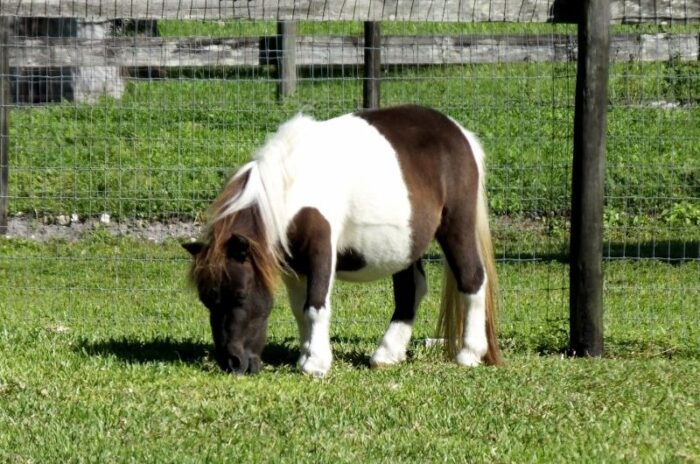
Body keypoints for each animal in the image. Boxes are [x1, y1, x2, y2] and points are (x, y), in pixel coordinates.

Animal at [183, 104, 502, 376]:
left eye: (239, 295)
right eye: (206, 299)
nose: (232, 363)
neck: (288, 186)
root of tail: (460, 133)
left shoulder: (320, 249)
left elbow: (315, 304)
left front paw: (316, 363)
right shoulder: (293, 264)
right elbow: (299, 309)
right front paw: (306, 355)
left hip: (456, 226)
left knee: (472, 279)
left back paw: (469, 353)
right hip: (405, 246)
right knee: (411, 291)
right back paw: (387, 354)